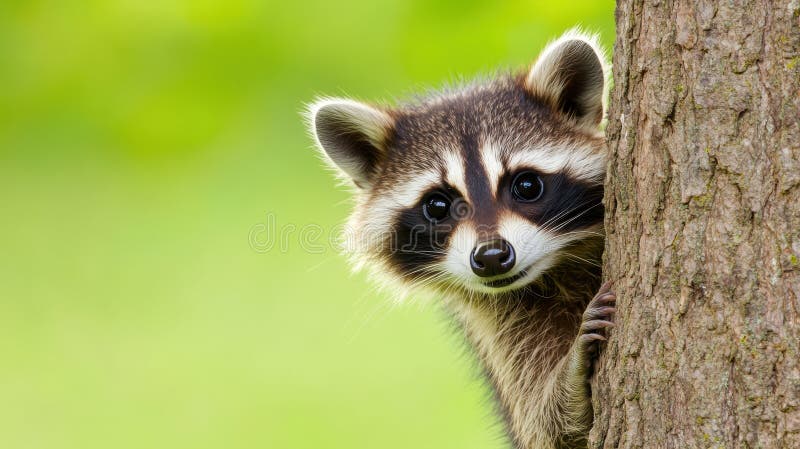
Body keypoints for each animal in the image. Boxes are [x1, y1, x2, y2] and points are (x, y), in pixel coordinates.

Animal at [306, 30, 616, 449]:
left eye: (527, 186)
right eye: (437, 205)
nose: (491, 256)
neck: (552, 275)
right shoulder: (500, 328)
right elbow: (543, 424)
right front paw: (570, 371)